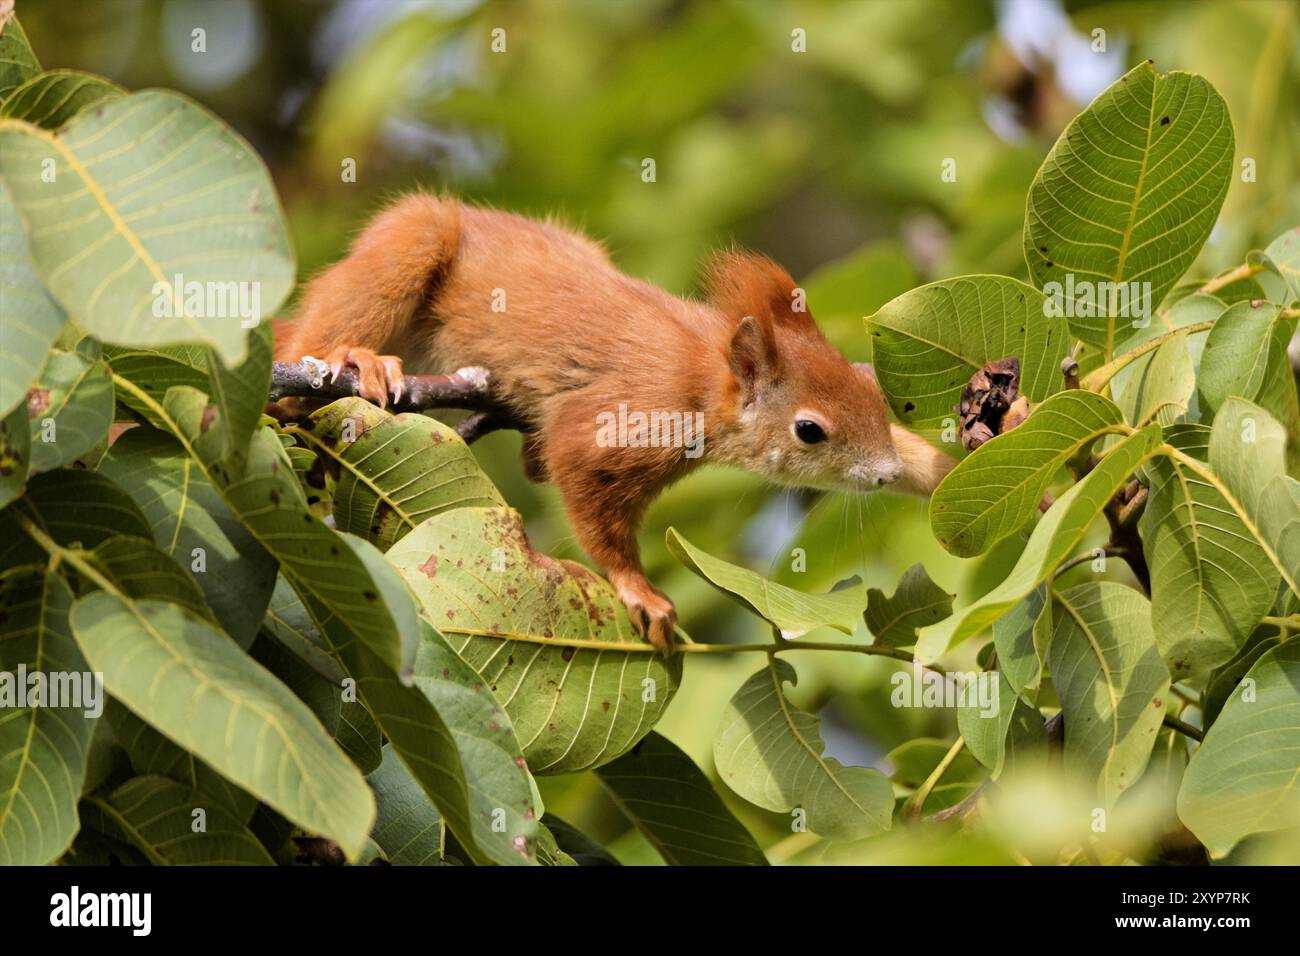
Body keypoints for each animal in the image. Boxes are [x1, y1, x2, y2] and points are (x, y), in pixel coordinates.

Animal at [274, 194, 957, 652]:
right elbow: (584, 480)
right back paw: (349, 359)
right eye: (809, 430)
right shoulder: (618, 419)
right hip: (405, 251)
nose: (884, 473)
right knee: (315, 341)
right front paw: (640, 591)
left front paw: (949, 463)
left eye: (871, 387)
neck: (703, 375)